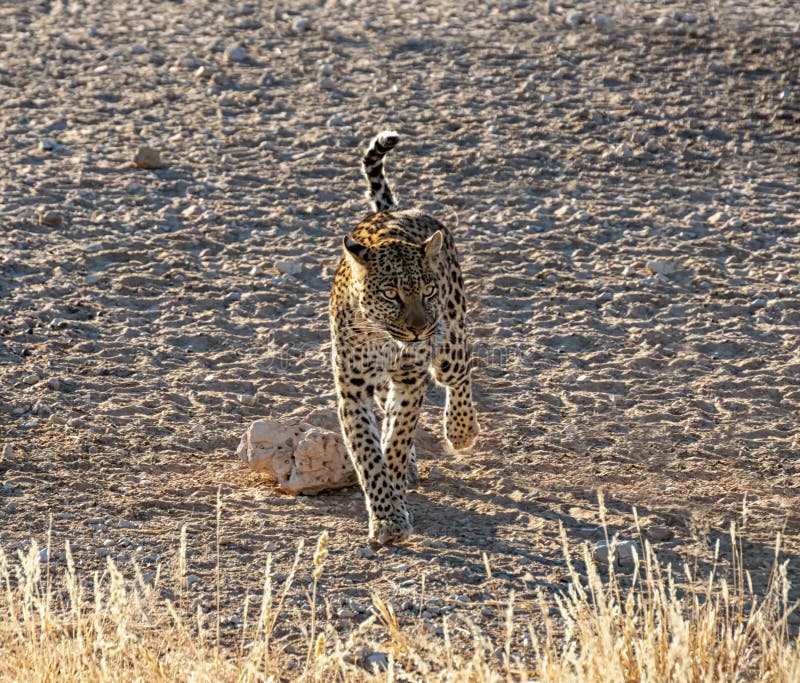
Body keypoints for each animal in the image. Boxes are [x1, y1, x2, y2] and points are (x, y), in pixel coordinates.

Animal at [329, 131, 480, 545]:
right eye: (390, 294)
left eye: (427, 291)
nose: (418, 329)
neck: (384, 338)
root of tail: (395, 210)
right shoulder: (352, 390)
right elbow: (368, 453)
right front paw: (387, 515)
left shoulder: (411, 377)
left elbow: (397, 436)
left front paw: (395, 485)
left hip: (450, 339)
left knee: (459, 373)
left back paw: (461, 430)